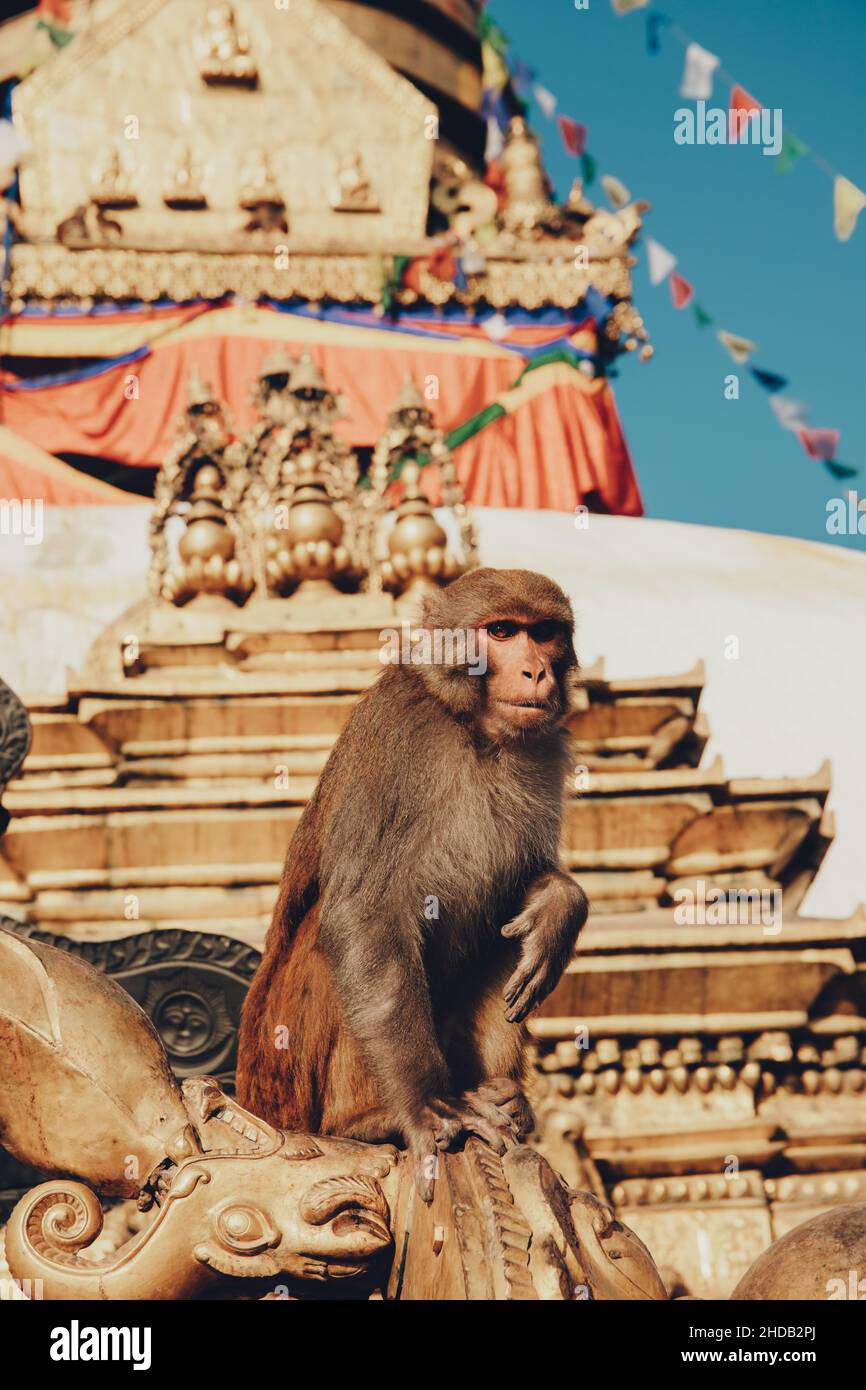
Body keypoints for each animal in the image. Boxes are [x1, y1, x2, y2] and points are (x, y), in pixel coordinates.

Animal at [236, 568, 588, 1200]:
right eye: (502, 632)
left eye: (544, 633)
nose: (536, 671)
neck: (471, 729)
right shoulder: (401, 734)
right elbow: (364, 917)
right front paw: (425, 1105)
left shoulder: (544, 748)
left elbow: (516, 886)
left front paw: (560, 905)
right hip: (284, 1080)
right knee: (337, 939)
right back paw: (367, 1119)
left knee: (504, 941)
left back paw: (504, 1096)